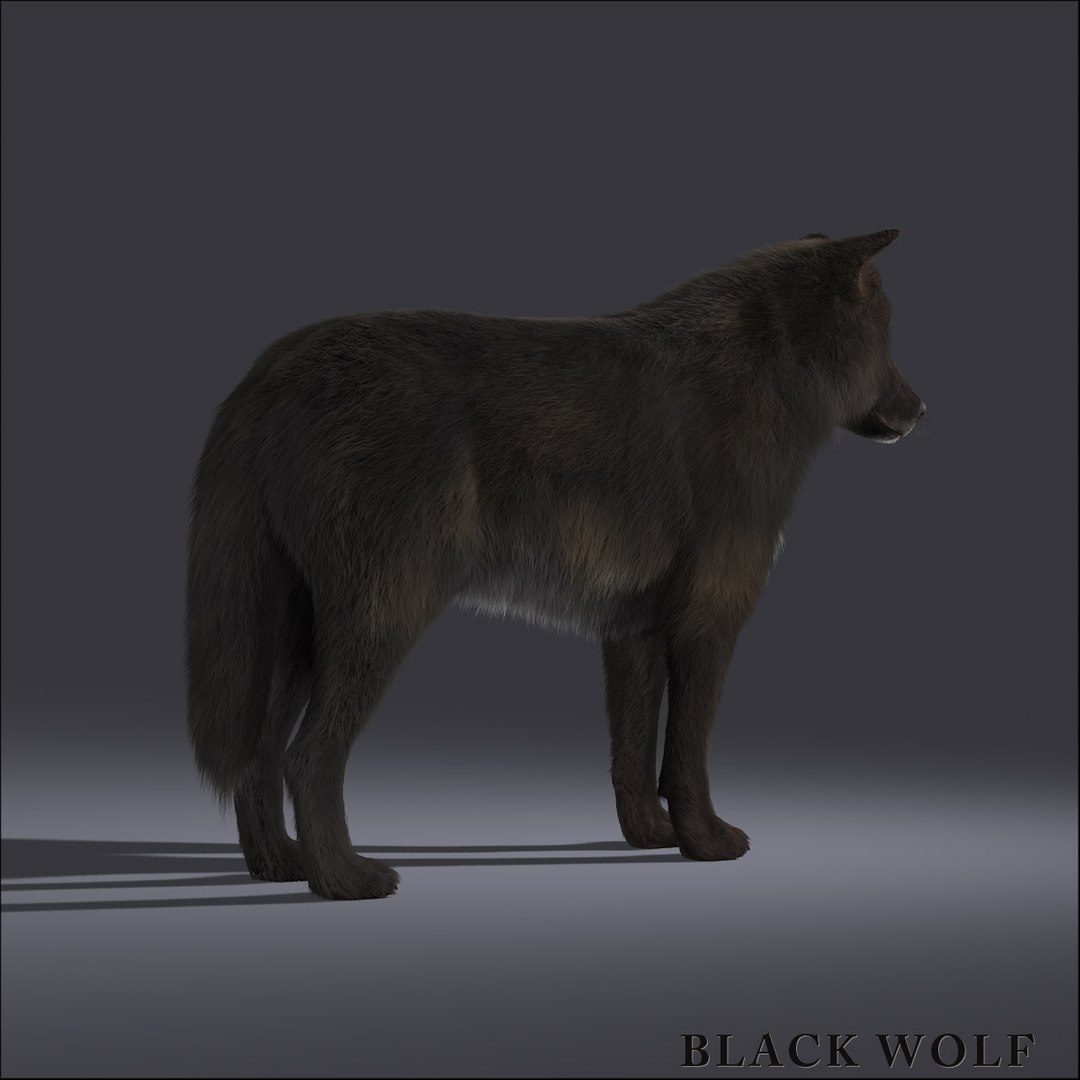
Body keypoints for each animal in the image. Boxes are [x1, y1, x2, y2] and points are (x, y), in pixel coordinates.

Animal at [185, 229, 925, 900]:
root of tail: (274, 370)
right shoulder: (706, 625)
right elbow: (688, 753)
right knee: (307, 758)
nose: (923, 408)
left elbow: (634, 750)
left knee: (259, 756)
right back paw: (344, 879)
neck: (762, 372)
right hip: (378, 619)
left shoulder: (633, 633)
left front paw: (652, 836)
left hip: (292, 637)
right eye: (885, 335)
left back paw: (279, 865)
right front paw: (708, 842)